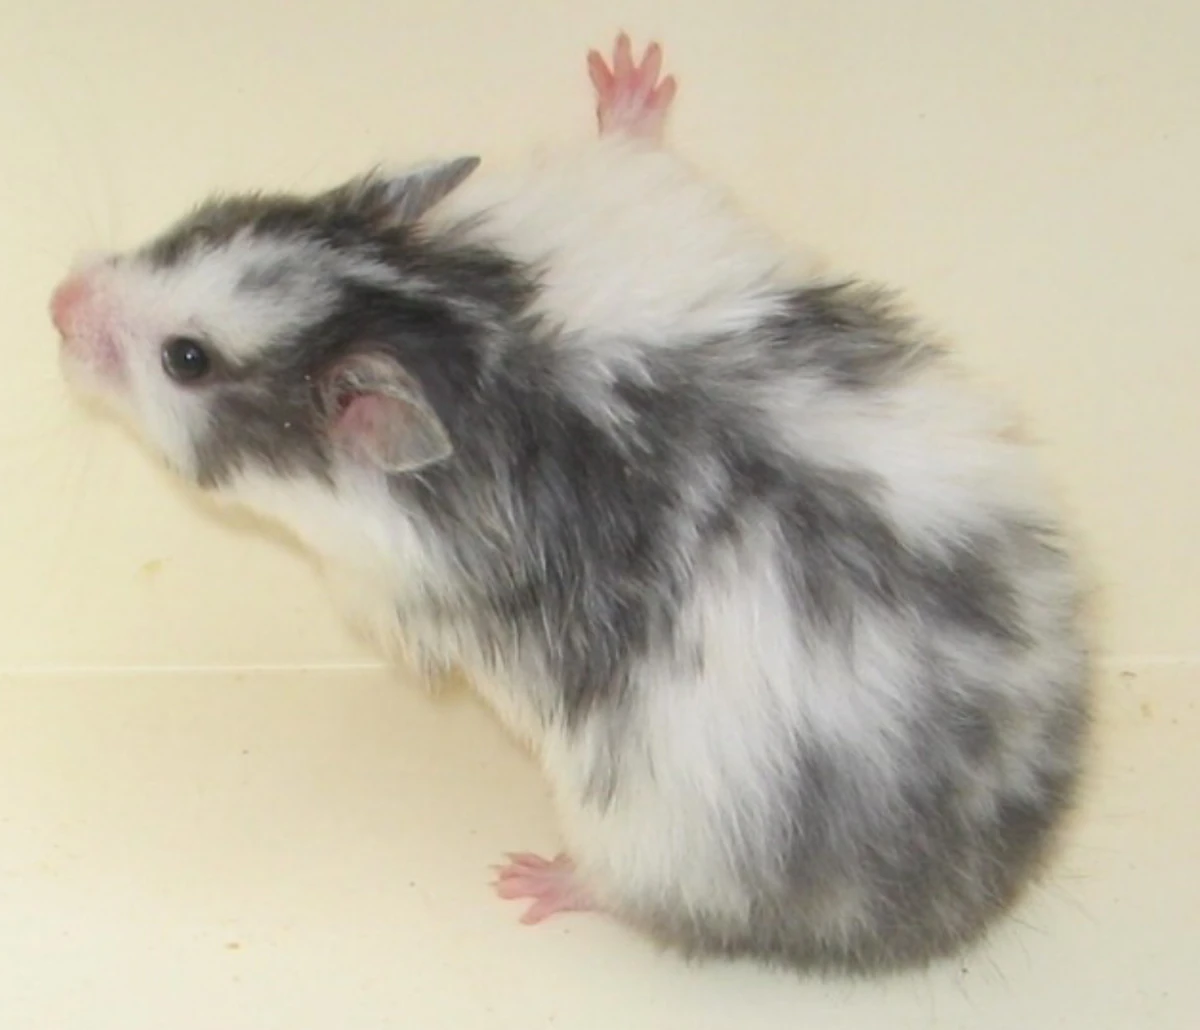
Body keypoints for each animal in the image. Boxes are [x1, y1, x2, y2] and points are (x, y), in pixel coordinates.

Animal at [50, 34, 1090, 975]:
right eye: (207, 219)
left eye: (187, 359)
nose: (57, 300)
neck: (455, 321)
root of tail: (995, 874)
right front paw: (628, 69)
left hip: (658, 833)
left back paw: (534, 881)